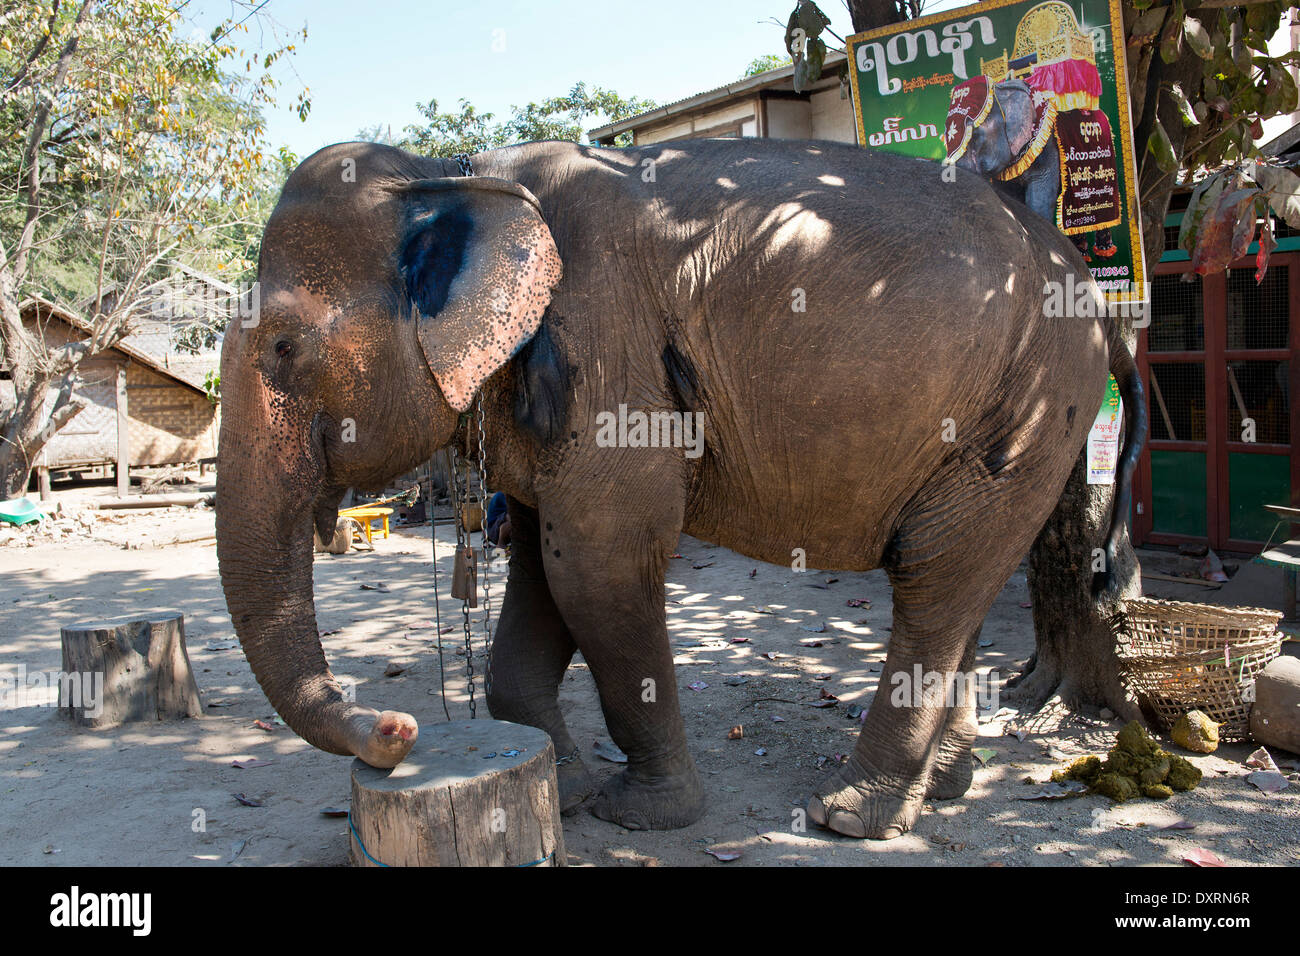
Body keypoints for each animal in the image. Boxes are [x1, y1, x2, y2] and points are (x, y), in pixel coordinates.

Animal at [215, 136, 1146, 839]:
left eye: (285, 348)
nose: (398, 731)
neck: (452, 171)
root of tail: (1099, 298)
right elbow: (544, 566)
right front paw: (565, 787)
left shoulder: (607, 350)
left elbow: (600, 565)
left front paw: (639, 815)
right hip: (1027, 414)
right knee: (961, 576)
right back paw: (944, 788)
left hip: (1034, 400)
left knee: (932, 576)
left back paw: (851, 817)